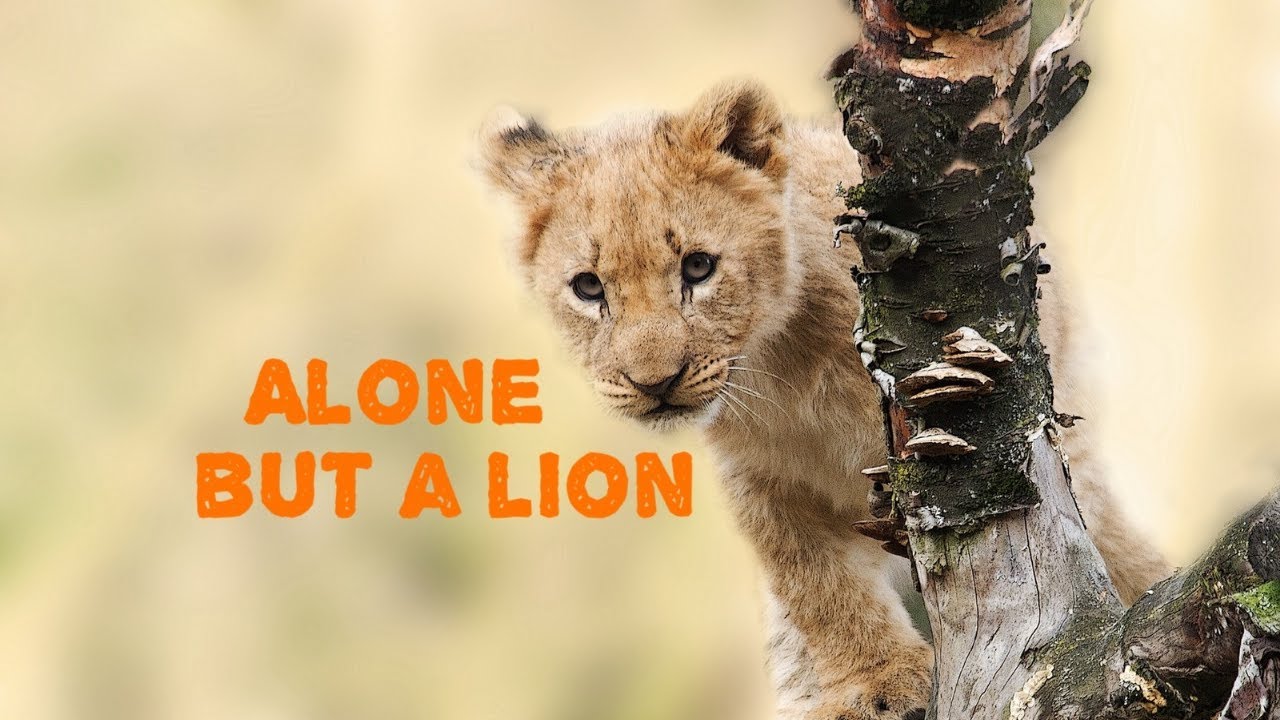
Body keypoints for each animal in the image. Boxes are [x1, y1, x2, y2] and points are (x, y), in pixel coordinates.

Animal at [477, 80, 1169, 720]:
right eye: (588, 287)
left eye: (698, 267)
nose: (655, 384)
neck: (776, 367)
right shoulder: (759, 479)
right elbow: (814, 583)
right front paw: (879, 684)